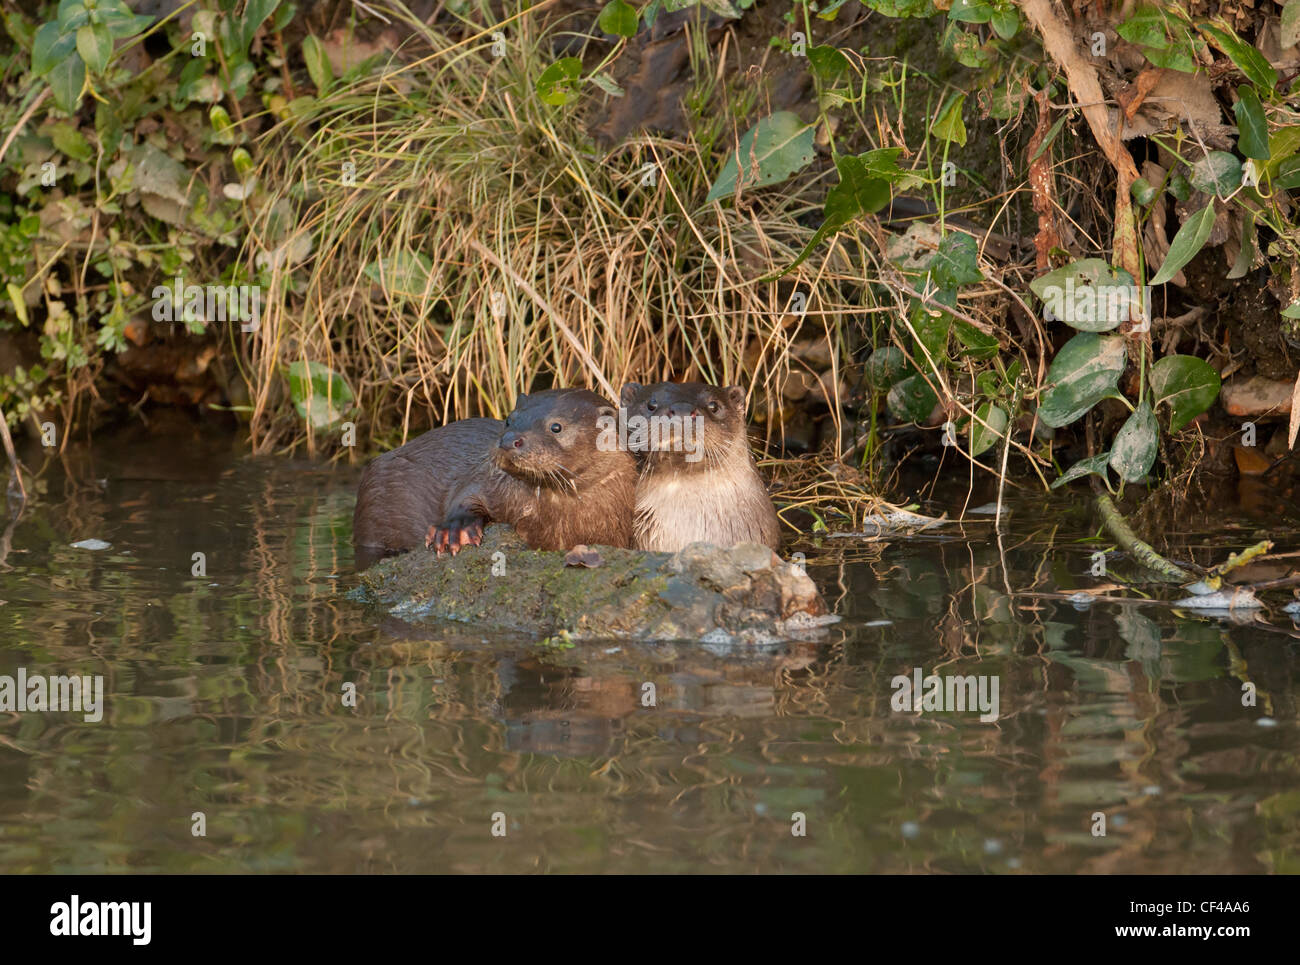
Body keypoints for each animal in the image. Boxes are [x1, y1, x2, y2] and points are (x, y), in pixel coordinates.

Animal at [352, 389, 636, 567]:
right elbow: (465, 494)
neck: (560, 520)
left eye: (556, 427)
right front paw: (453, 530)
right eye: (509, 420)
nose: (510, 440)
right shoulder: (485, 479)